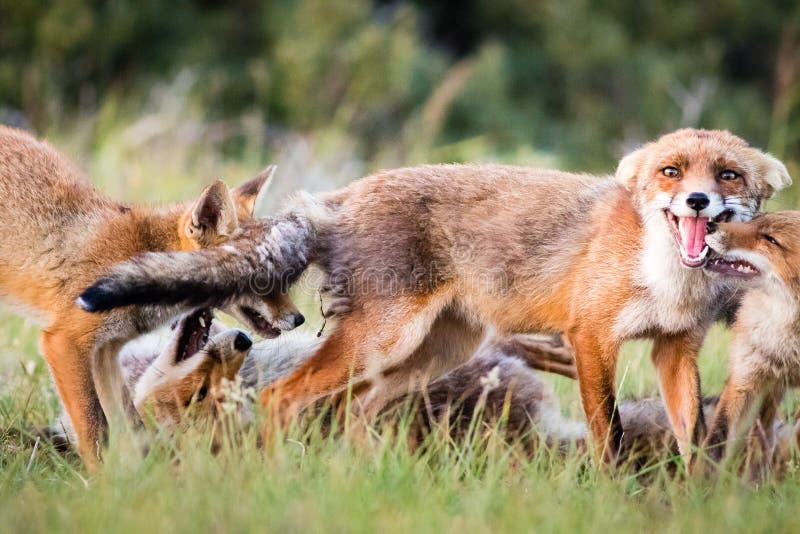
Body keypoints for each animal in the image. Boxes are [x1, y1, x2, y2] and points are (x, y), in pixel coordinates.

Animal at [0, 126, 305, 466]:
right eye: (257, 278)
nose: (299, 318)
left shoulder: (106, 350)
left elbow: (127, 422)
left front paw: (142, 472)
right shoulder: (66, 343)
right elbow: (94, 431)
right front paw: (103, 478)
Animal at [76, 128, 792, 463]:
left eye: (728, 175)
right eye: (671, 172)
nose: (698, 201)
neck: (667, 276)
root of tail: (340, 196)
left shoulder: (675, 349)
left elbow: (696, 439)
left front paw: (695, 498)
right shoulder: (590, 338)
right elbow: (609, 436)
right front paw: (614, 496)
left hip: (431, 354)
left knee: (357, 413)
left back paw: (357, 481)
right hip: (383, 342)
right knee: (284, 399)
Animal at [703, 212, 800, 474]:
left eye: (771, 239)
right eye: (755, 221)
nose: (709, 224)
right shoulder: (744, 380)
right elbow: (715, 445)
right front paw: (697, 484)